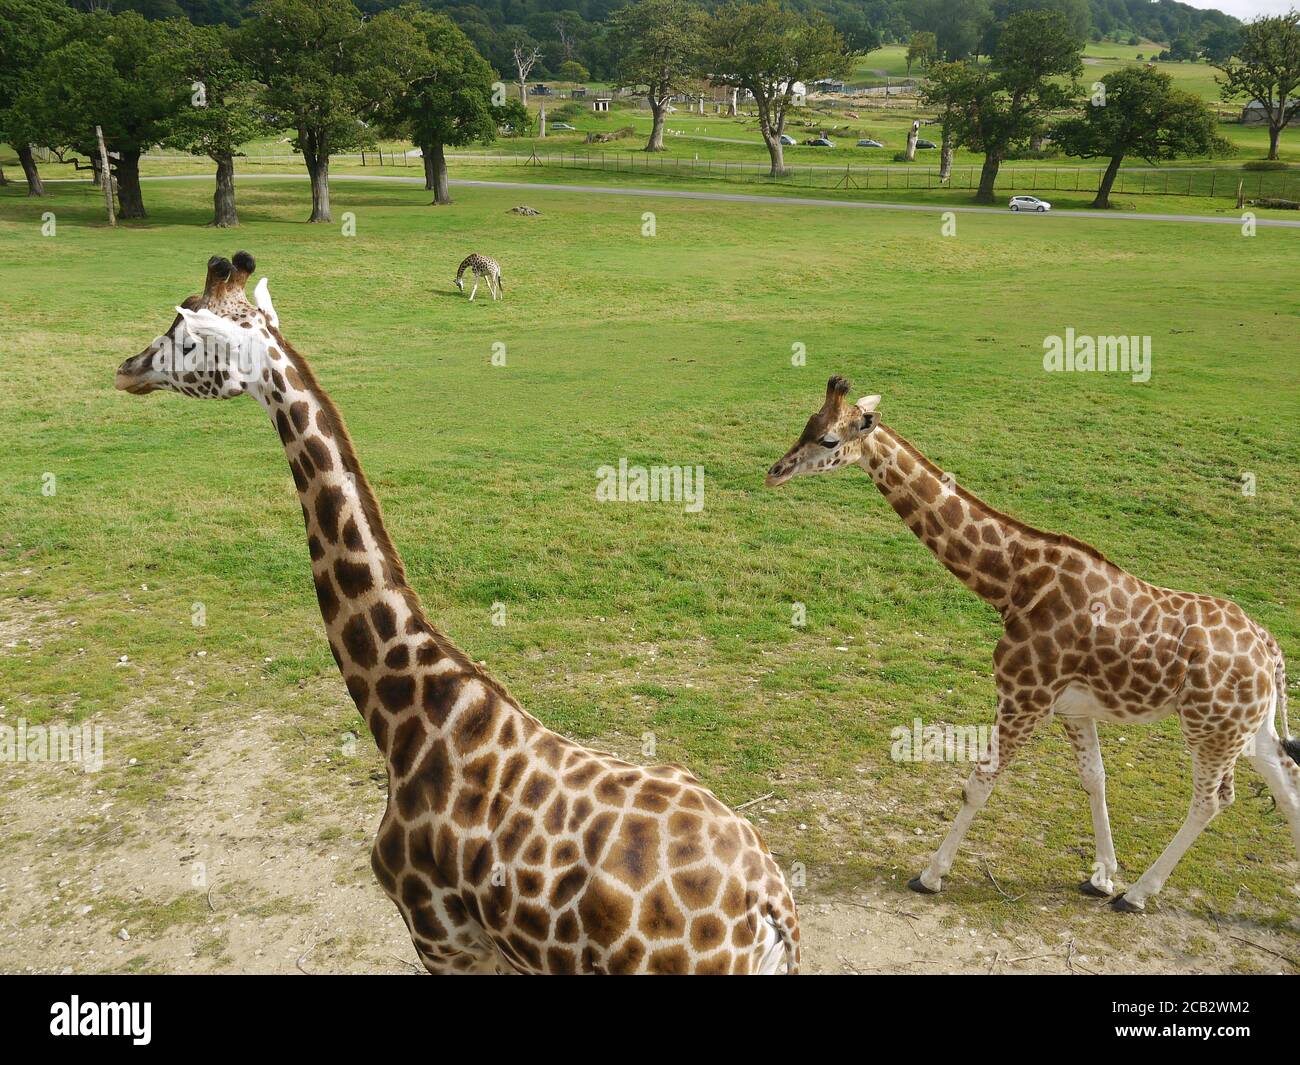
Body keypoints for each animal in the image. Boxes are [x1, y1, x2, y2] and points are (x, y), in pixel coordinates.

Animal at [766, 376, 1300, 912]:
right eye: (807, 424)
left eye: (829, 440)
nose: (774, 472)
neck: (1012, 584)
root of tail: (1271, 651)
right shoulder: (1072, 707)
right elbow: (1094, 778)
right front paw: (1101, 876)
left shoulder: (1025, 696)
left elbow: (978, 783)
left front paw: (931, 875)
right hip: (1248, 730)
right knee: (1287, 778)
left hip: (1210, 729)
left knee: (1213, 799)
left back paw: (1138, 895)